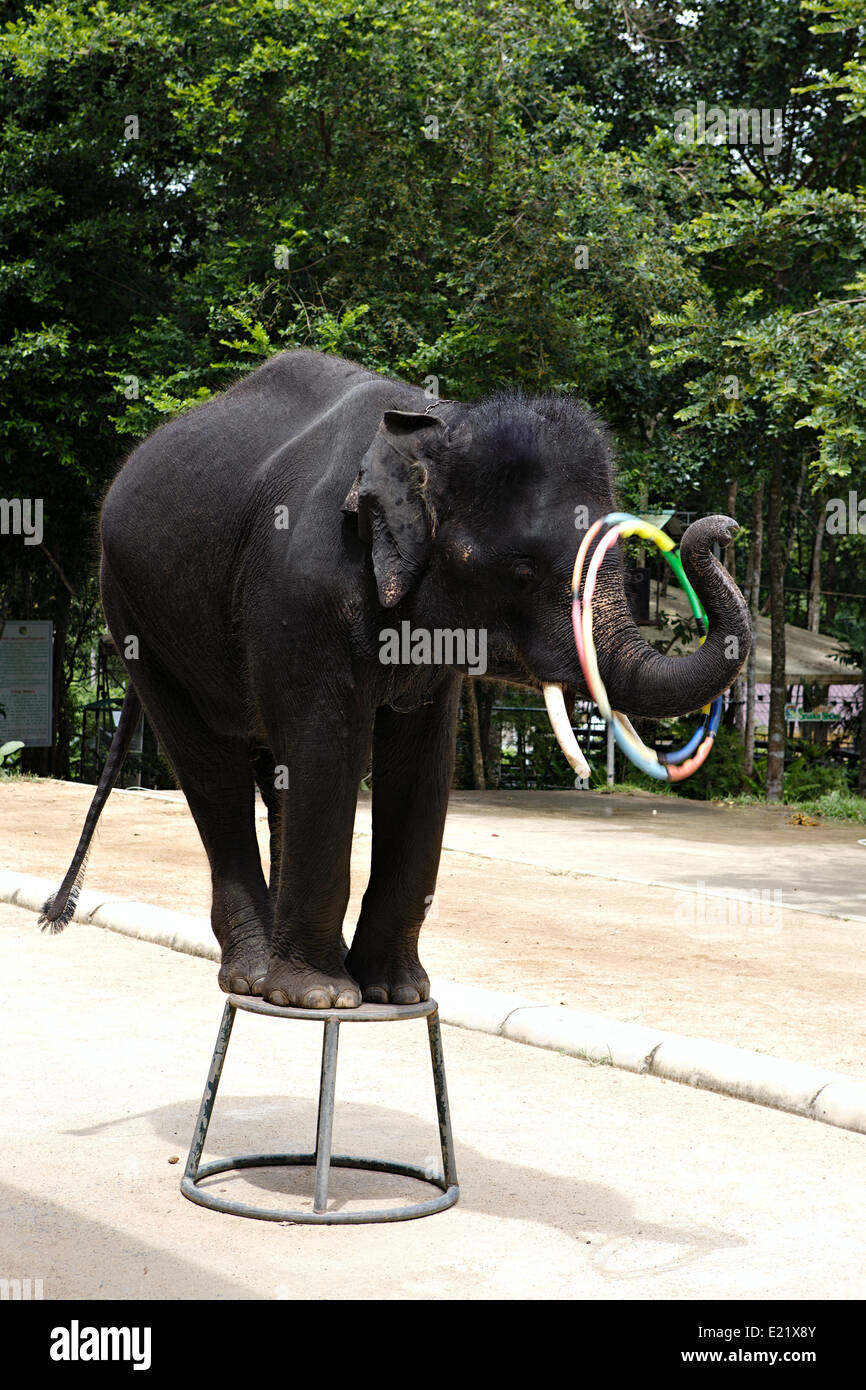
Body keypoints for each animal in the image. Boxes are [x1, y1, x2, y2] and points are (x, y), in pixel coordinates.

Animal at [40, 349, 750, 1007]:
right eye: (521, 570)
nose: (722, 529)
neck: (438, 425)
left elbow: (420, 766)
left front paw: (397, 994)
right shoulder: (299, 592)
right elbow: (330, 750)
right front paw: (321, 998)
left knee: (272, 767)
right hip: (132, 613)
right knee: (211, 770)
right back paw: (253, 978)